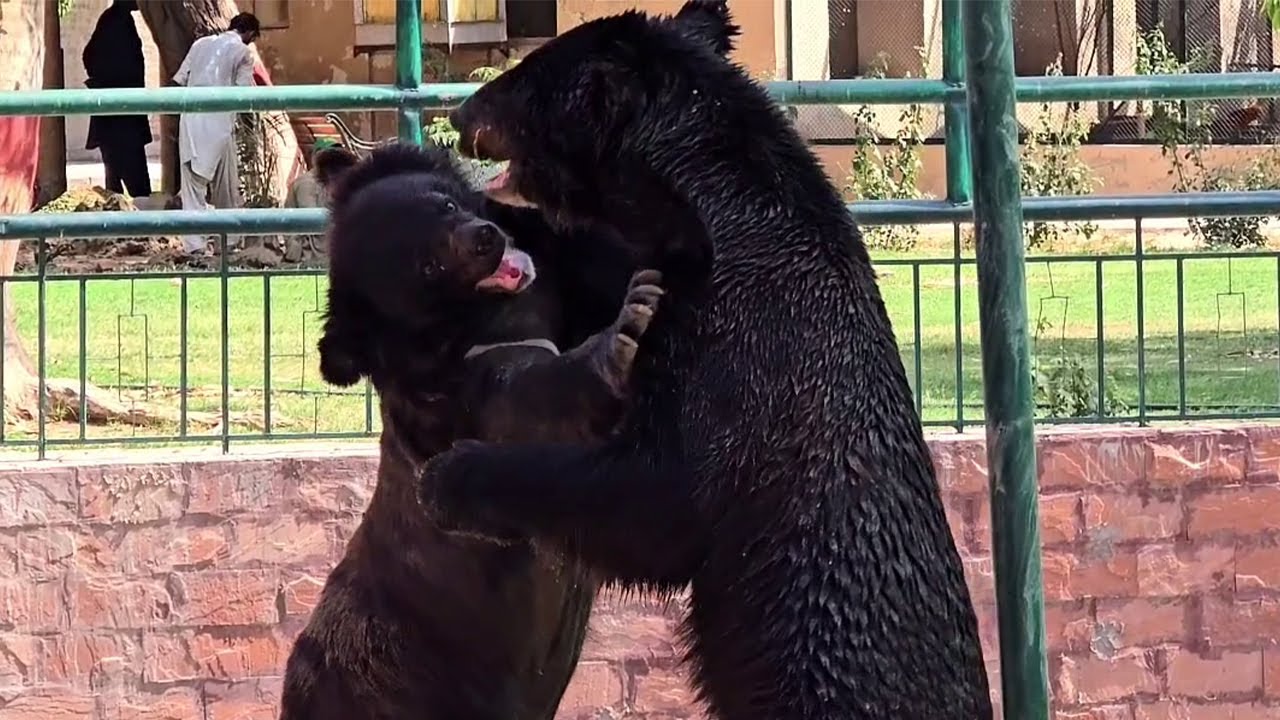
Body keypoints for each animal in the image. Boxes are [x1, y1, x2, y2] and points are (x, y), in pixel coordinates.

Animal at [279, 142, 664, 720]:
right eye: (429, 266)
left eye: (445, 203)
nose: (486, 239)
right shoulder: (459, 401)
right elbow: (522, 406)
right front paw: (624, 334)